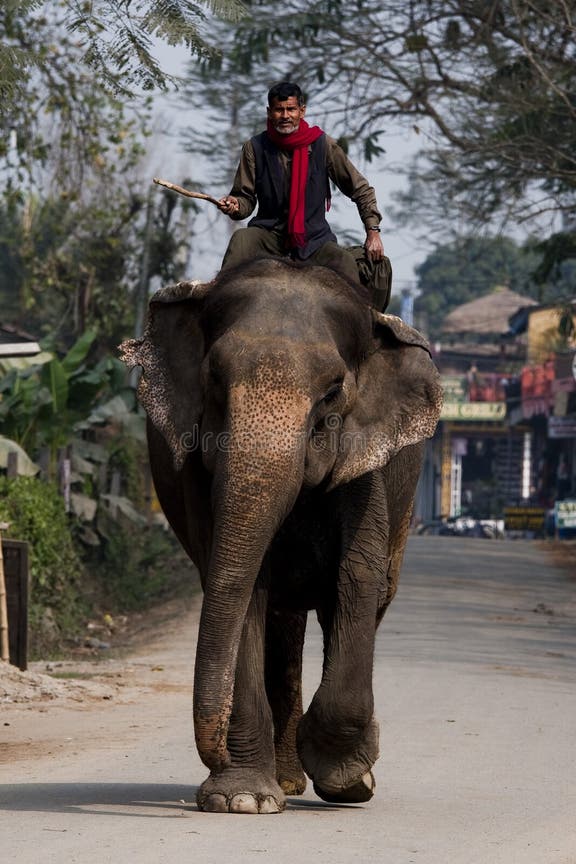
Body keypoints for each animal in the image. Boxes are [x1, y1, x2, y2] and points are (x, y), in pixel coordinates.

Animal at [120, 257, 442, 814]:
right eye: (213, 380)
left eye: (332, 393)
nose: (216, 752)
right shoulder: (197, 470)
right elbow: (243, 583)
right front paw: (242, 798)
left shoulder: (366, 465)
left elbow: (356, 576)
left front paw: (348, 781)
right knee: (280, 619)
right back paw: (286, 782)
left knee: (365, 600)